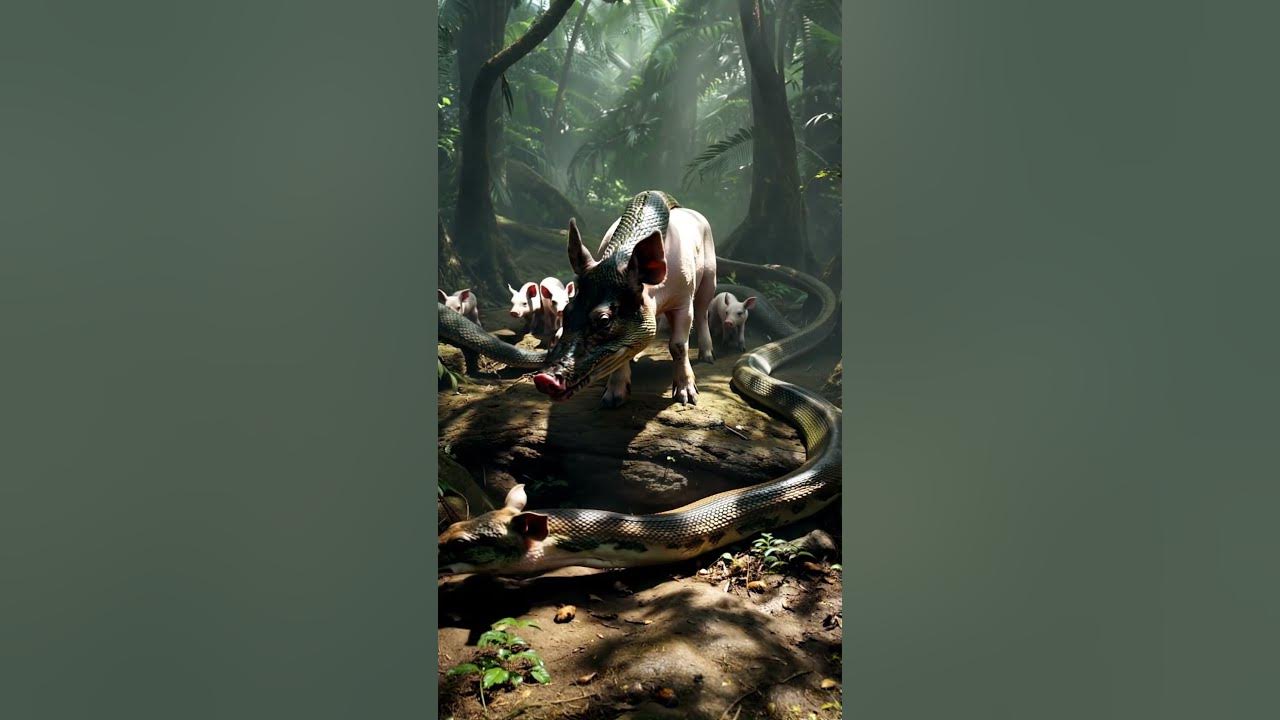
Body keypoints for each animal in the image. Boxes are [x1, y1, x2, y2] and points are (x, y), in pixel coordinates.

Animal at [533, 191, 716, 408]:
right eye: (566, 312)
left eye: (604, 320)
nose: (543, 378)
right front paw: (611, 401)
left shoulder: (683, 299)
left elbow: (678, 345)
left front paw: (687, 398)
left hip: (710, 275)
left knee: (702, 312)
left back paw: (708, 358)